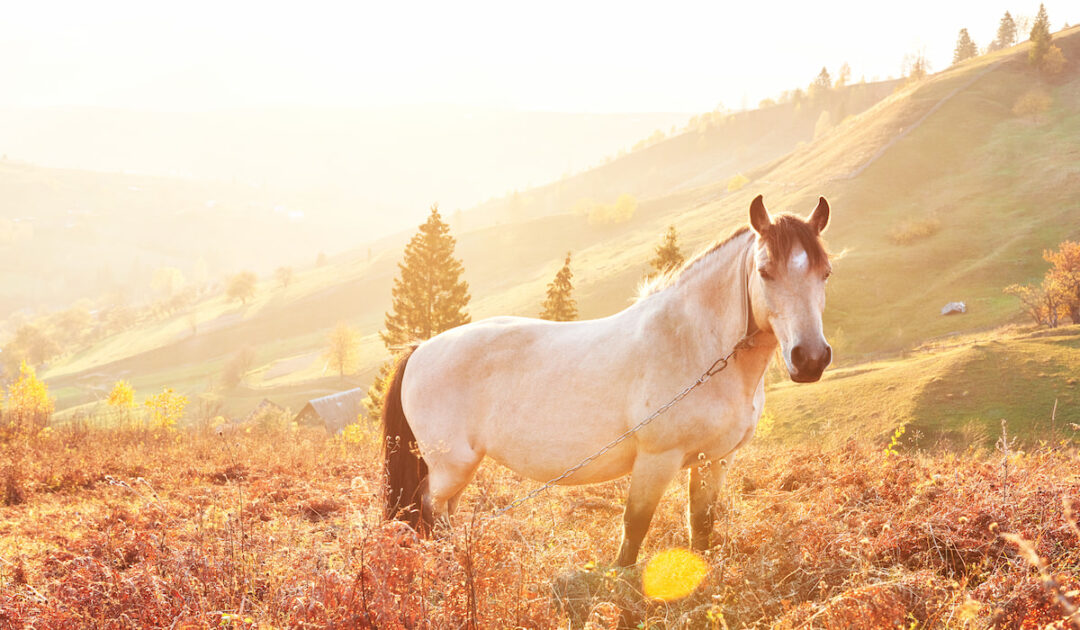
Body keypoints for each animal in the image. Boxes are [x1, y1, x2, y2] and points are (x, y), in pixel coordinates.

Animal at [382, 194, 832, 567]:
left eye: (825, 272)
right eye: (765, 272)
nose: (810, 359)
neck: (692, 343)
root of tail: (420, 349)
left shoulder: (715, 460)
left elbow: (701, 527)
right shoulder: (655, 460)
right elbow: (634, 529)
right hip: (449, 469)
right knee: (428, 512)